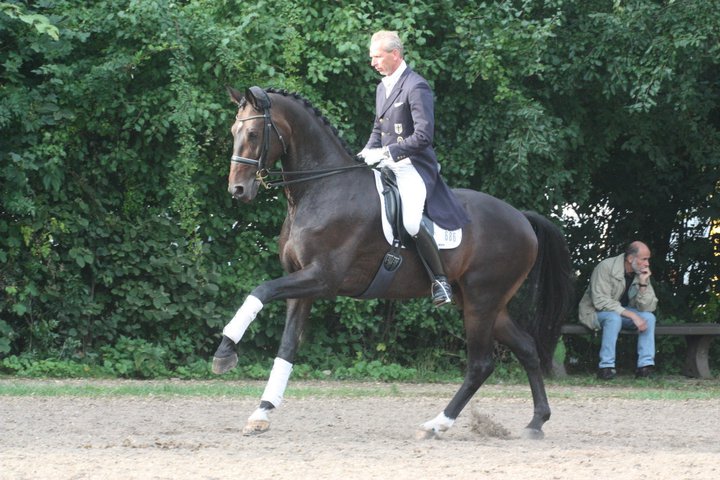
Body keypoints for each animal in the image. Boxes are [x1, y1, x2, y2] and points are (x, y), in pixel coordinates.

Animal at [212, 86, 574, 439]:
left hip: (481, 302)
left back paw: (437, 424)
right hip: (485, 304)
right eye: (233, 131)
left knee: (480, 364)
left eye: (254, 133)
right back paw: (536, 422)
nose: (238, 189)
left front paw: (225, 351)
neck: (322, 188)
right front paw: (261, 413)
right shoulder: (302, 285)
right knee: (527, 348)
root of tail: (522, 218)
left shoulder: (321, 278)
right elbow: (287, 347)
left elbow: (260, 291)